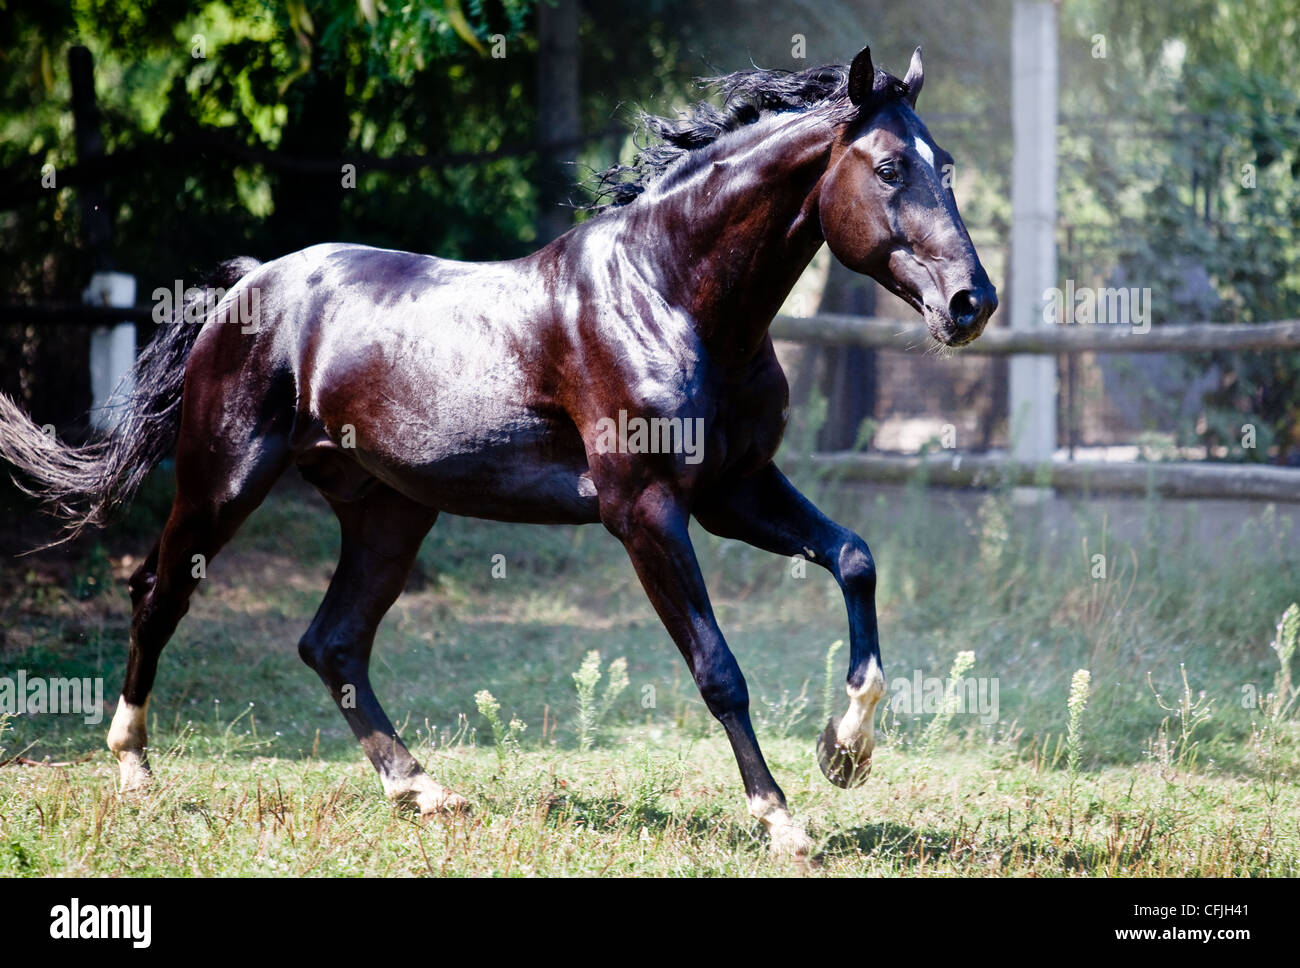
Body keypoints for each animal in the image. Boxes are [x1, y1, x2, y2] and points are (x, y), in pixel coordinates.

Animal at [0, 45, 995, 856]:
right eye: (891, 167)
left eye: (945, 166)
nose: (971, 303)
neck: (670, 293)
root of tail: (247, 286)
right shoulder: (646, 511)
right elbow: (719, 670)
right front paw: (782, 819)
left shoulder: (736, 490)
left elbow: (855, 558)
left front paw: (846, 751)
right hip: (222, 484)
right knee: (157, 594)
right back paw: (134, 767)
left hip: (390, 513)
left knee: (332, 643)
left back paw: (422, 790)